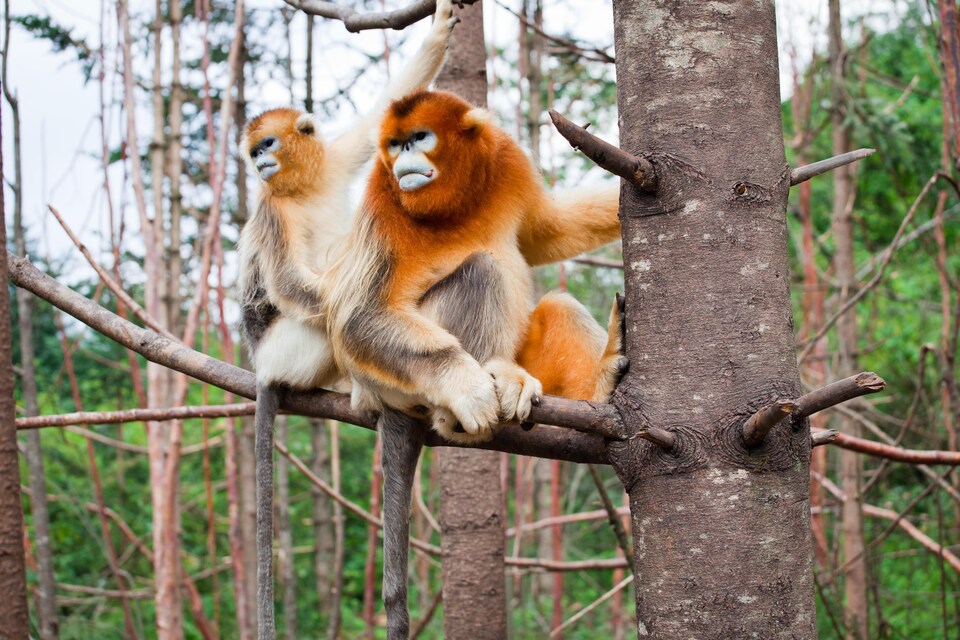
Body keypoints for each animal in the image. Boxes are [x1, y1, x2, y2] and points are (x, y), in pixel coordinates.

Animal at [235, 4, 457, 637]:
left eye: (267, 144)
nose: (259, 162)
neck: (300, 188)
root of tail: (259, 367)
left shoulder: (334, 160)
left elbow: (386, 106)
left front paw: (439, 27)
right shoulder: (270, 211)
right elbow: (289, 284)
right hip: (284, 349)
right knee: (325, 321)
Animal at [321, 89, 624, 638]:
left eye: (419, 138)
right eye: (393, 145)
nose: (404, 158)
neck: (452, 200)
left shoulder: (506, 162)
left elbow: (546, 232)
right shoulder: (381, 198)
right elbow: (357, 317)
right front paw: (469, 388)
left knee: (558, 306)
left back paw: (599, 388)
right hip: (392, 379)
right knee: (480, 270)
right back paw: (473, 397)